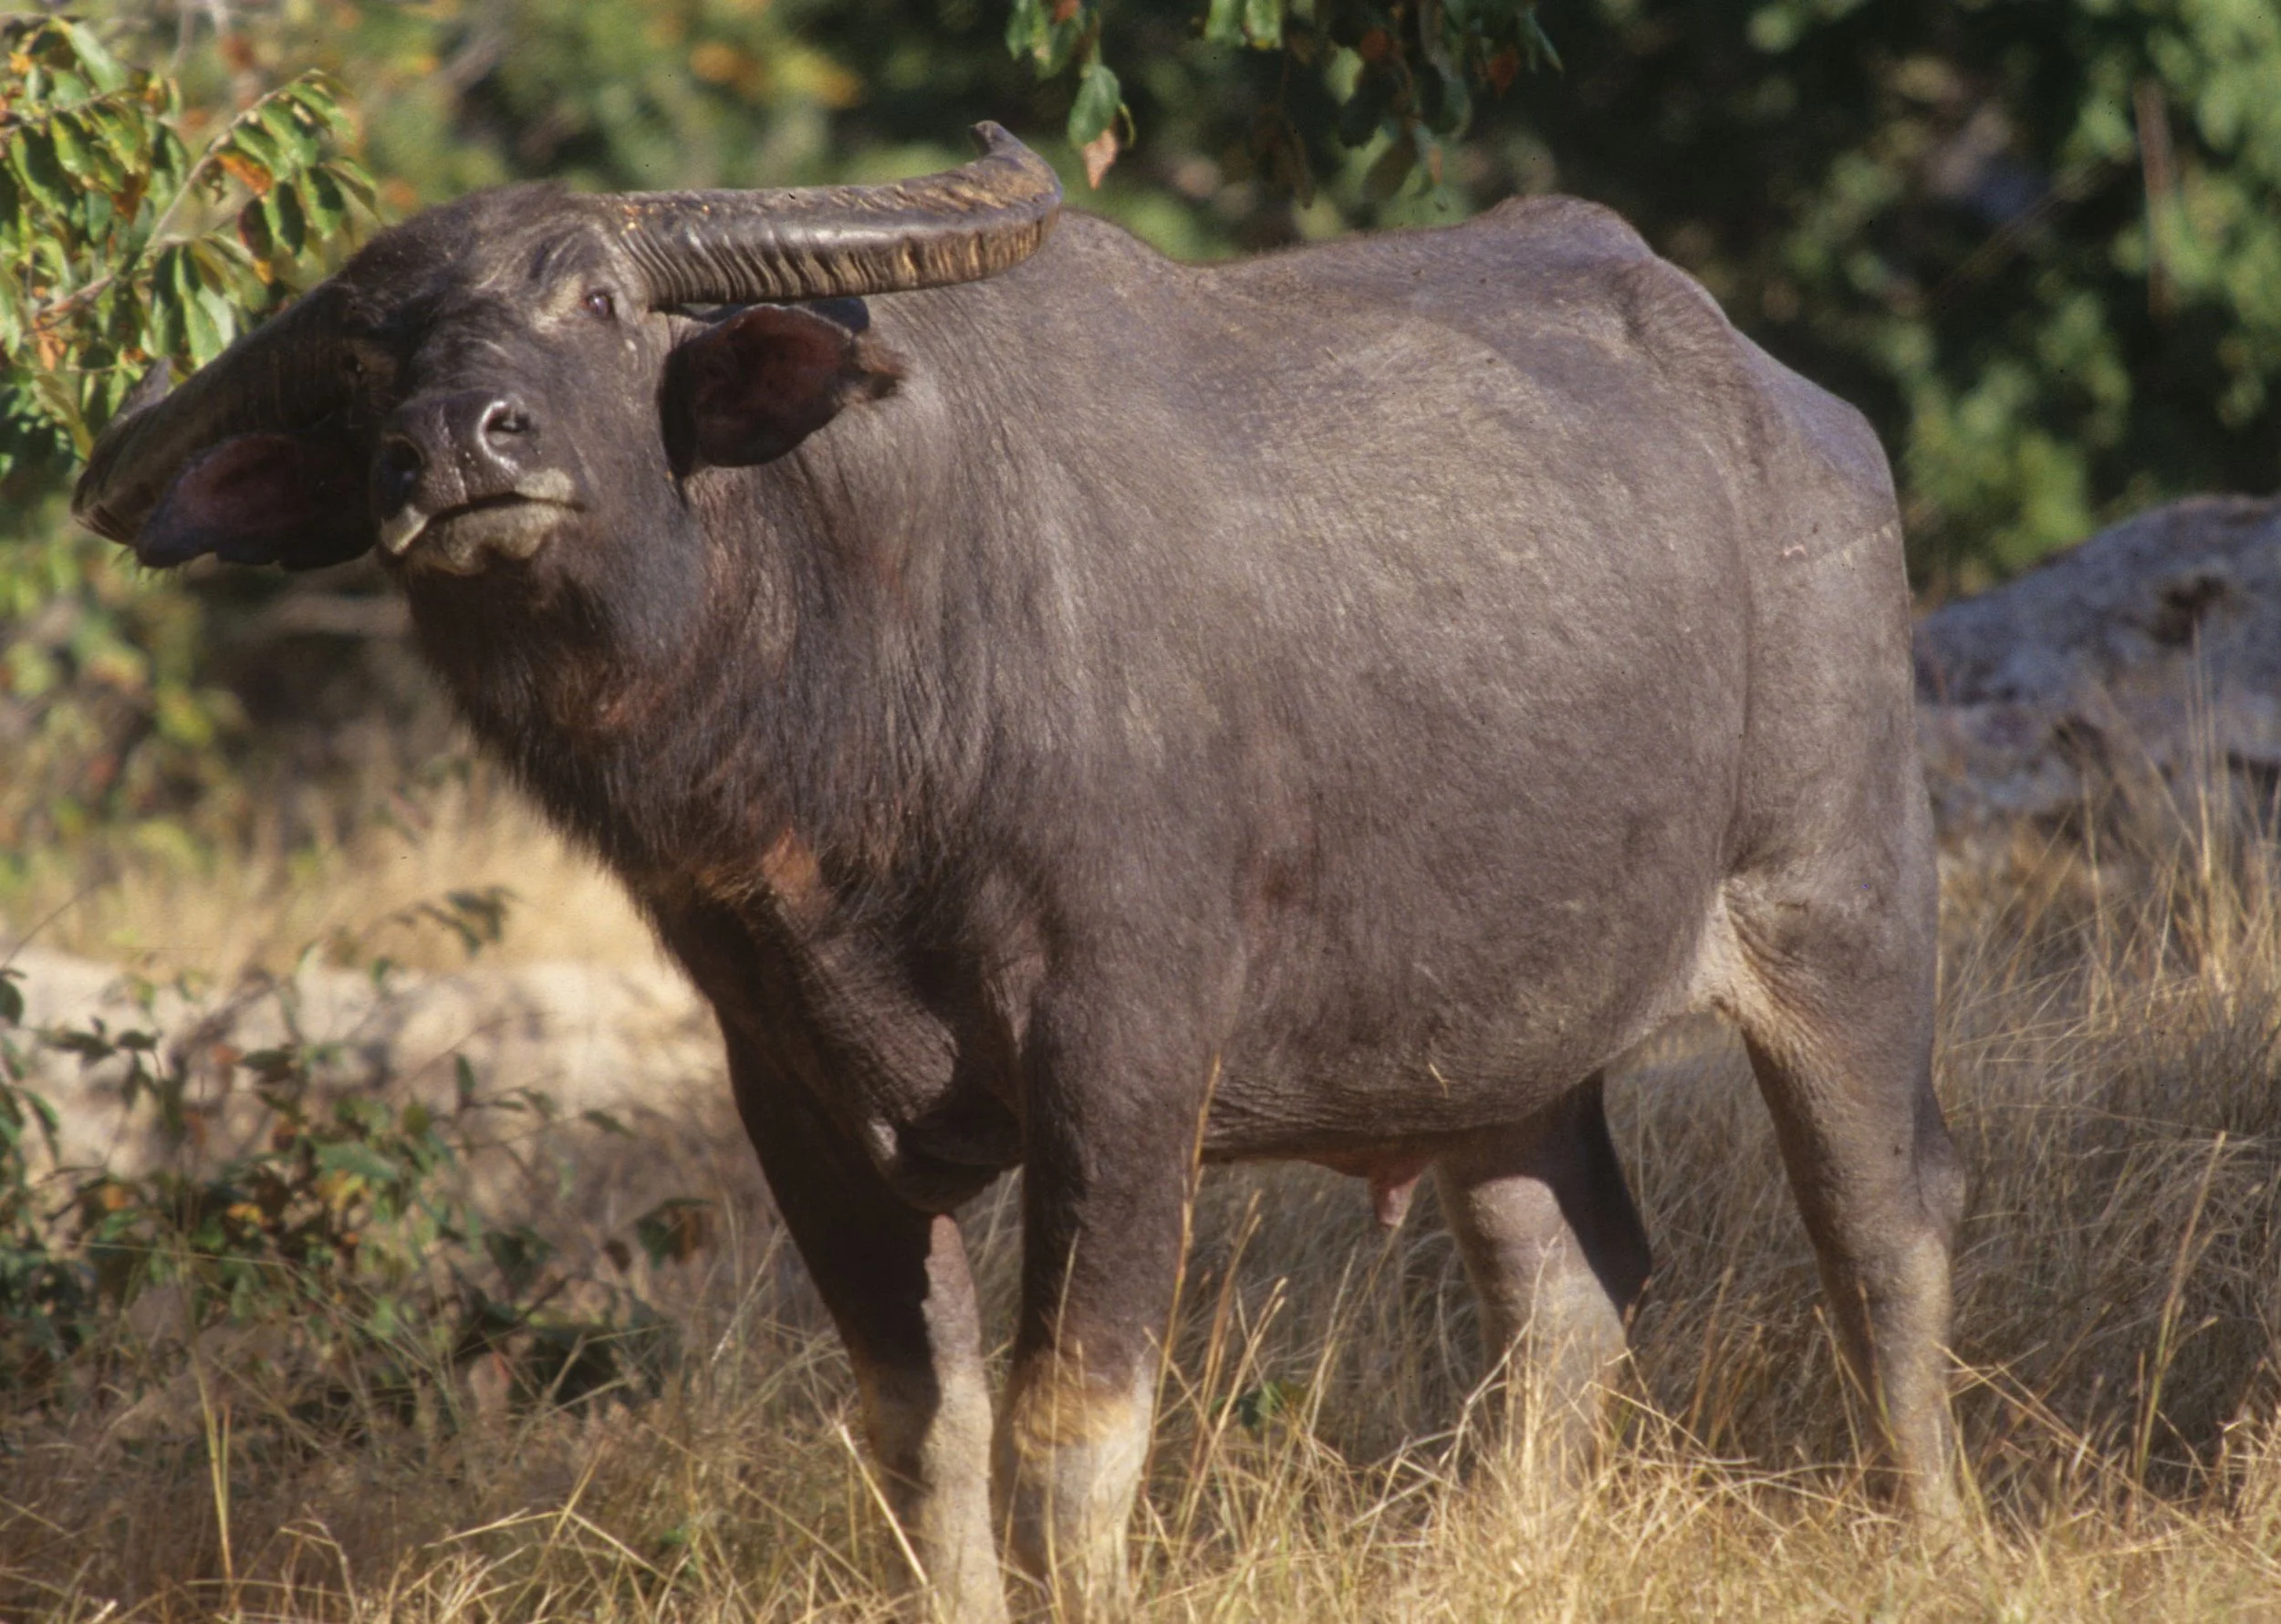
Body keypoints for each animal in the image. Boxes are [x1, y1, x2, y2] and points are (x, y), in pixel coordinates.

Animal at [75, 125, 1965, 1620]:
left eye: (600, 301)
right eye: (362, 372)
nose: (464, 447)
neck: (868, 716)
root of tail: (1804, 420)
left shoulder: (1121, 1066)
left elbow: (1073, 1432)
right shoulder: (799, 1103)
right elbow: (925, 1430)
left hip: (1840, 911)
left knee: (1883, 1236)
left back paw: (1928, 1529)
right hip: (1505, 1060)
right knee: (1565, 1294)